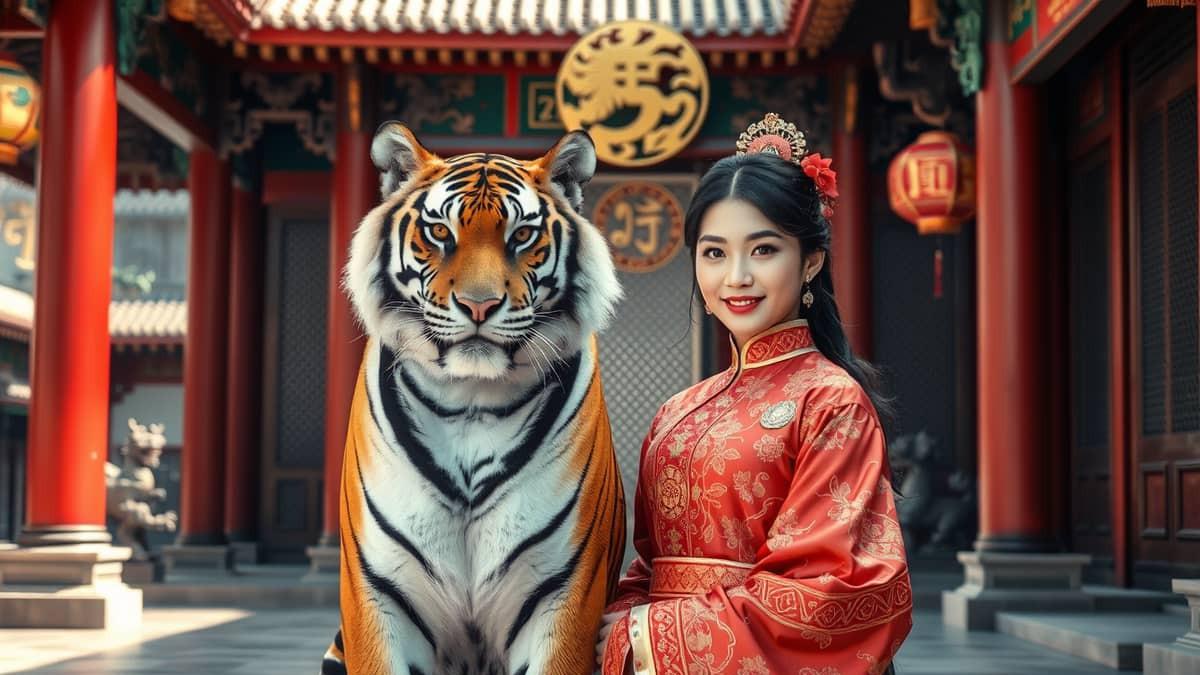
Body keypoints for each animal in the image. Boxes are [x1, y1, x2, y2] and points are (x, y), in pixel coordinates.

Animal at [320, 122, 626, 675]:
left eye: (522, 235)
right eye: (440, 233)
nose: (479, 305)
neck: (470, 400)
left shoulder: (563, 592)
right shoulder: (379, 593)